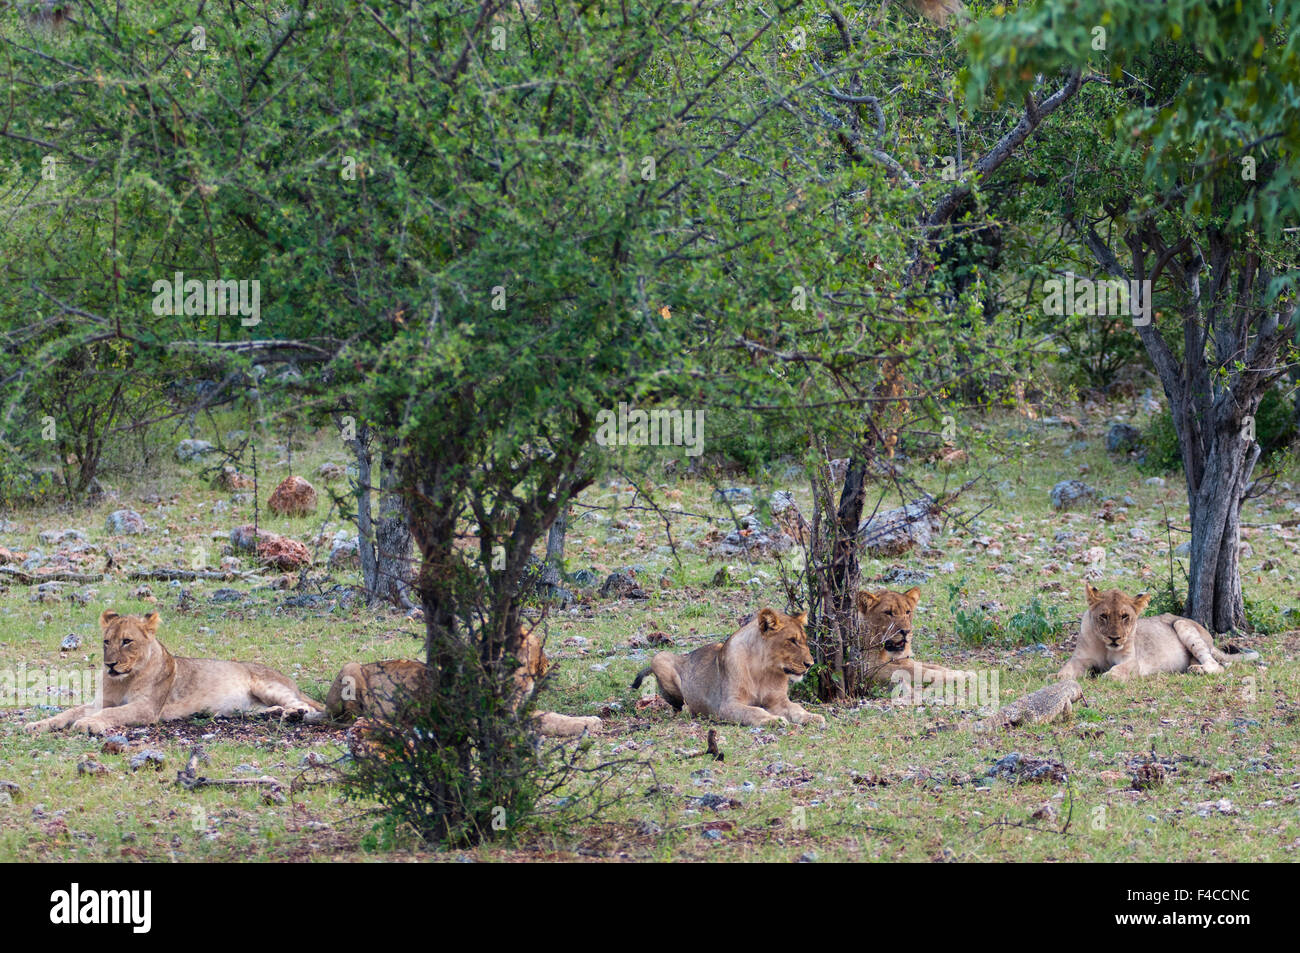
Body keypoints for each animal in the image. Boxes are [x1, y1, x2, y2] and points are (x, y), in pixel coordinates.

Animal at [25, 610, 323, 736]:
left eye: (127, 641)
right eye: (106, 642)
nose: (110, 665)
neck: (123, 680)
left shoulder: (146, 708)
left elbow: (113, 714)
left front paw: (89, 723)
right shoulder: (101, 701)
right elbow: (68, 712)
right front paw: (37, 724)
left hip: (267, 685)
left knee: (303, 705)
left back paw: (291, 713)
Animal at [324, 627, 602, 738]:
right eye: (539, 646)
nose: (547, 662)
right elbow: (550, 718)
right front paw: (592, 722)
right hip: (351, 669)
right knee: (346, 718)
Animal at [630, 607, 825, 727]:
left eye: (804, 640)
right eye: (792, 641)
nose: (810, 664)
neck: (763, 670)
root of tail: (685, 656)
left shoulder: (778, 700)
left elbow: (796, 708)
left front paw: (813, 717)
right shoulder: (727, 705)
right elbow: (754, 711)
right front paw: (774, 720)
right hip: (660, 657)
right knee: (677, 706)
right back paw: (687, 709)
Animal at [1058, 584, 1260, 682]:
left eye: (1125, 616)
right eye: (1103, 616)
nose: (1114, 638)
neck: (1105, 646)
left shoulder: (1132, 662)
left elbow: (1120, 669)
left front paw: (1109, 675)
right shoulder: (1080, 659)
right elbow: (1066, 670)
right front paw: (1058, 677)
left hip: (1181, 624)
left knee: (1217, 665)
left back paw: (1198, 670)